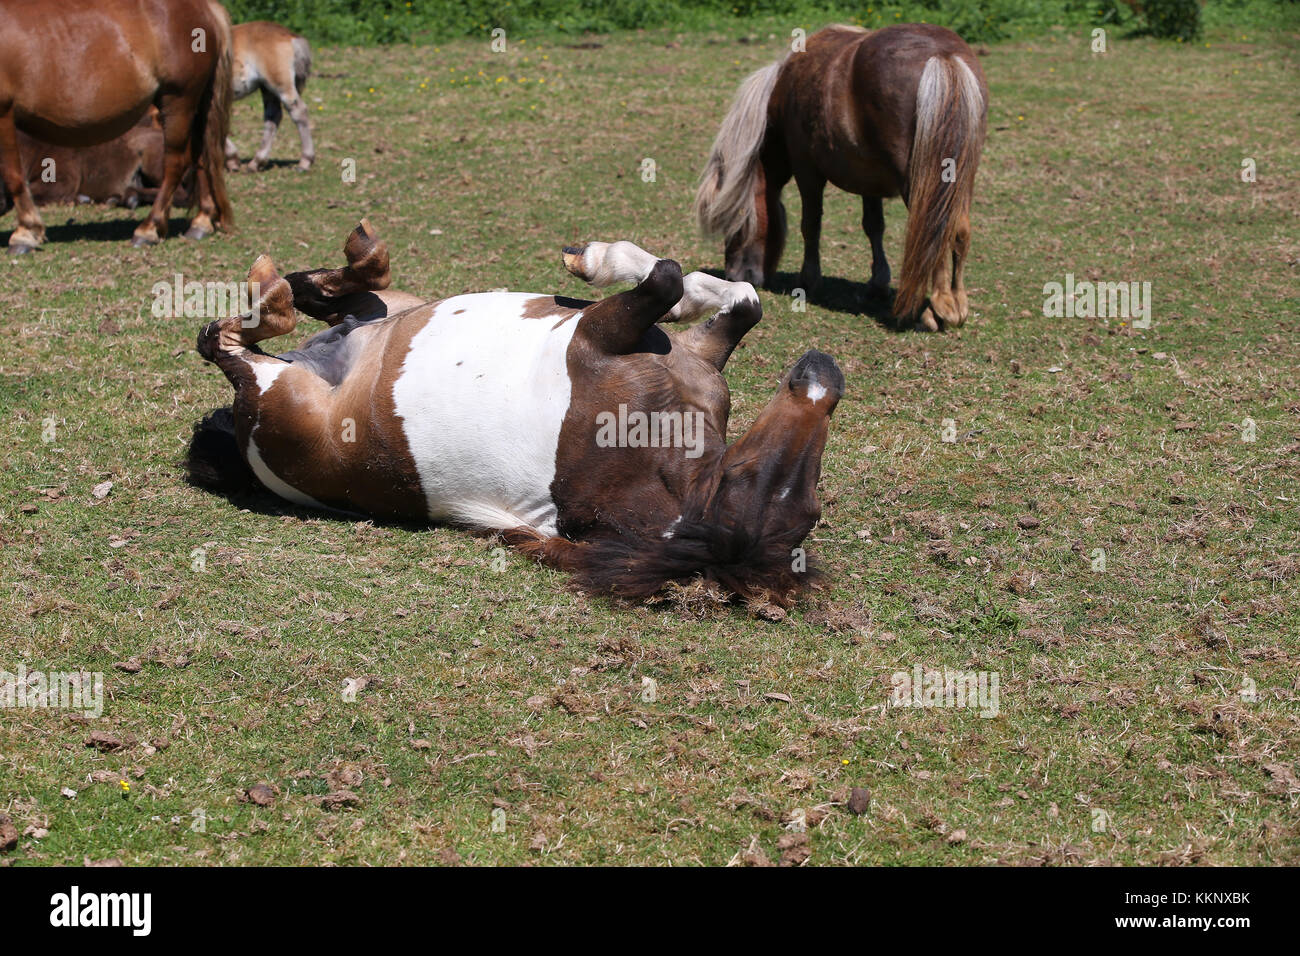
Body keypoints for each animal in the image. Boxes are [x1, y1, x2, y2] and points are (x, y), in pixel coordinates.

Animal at [0, 0, 233, 253]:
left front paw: (26, 233)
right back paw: (201, 222)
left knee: (176, 164)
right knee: (202, 157)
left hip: (178, 101)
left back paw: (148, 229)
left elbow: (13, 175)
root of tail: (205, 8)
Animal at [188, 221, 845, 607]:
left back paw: (275, 292)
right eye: (747, 471)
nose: (824, 373)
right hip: (386, 311)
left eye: (808, 506)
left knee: (231, 337)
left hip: (279, 390)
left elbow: (670, 279)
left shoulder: (598, 333)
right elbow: (734, 295)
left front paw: (597, 259)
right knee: (326, 294)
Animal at [225, 21, 315, 172]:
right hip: (267, 88)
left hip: (280, 84)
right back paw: (257, 162)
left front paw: (232, 159)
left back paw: (305, 161)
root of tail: (289, 35)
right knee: (273, 116)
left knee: (298, 111)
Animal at [694, 23, 988, 331]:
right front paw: (877, 285)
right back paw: (957, 304)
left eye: (736, 223)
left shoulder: (807, 170)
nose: (735, 274)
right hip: (960, 179)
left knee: (938, 230)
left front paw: (808, 280)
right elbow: (873, 226)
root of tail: (944, 56)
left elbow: (811, 224)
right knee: (959, 230)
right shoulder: (870, 182)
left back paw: (939, 309)